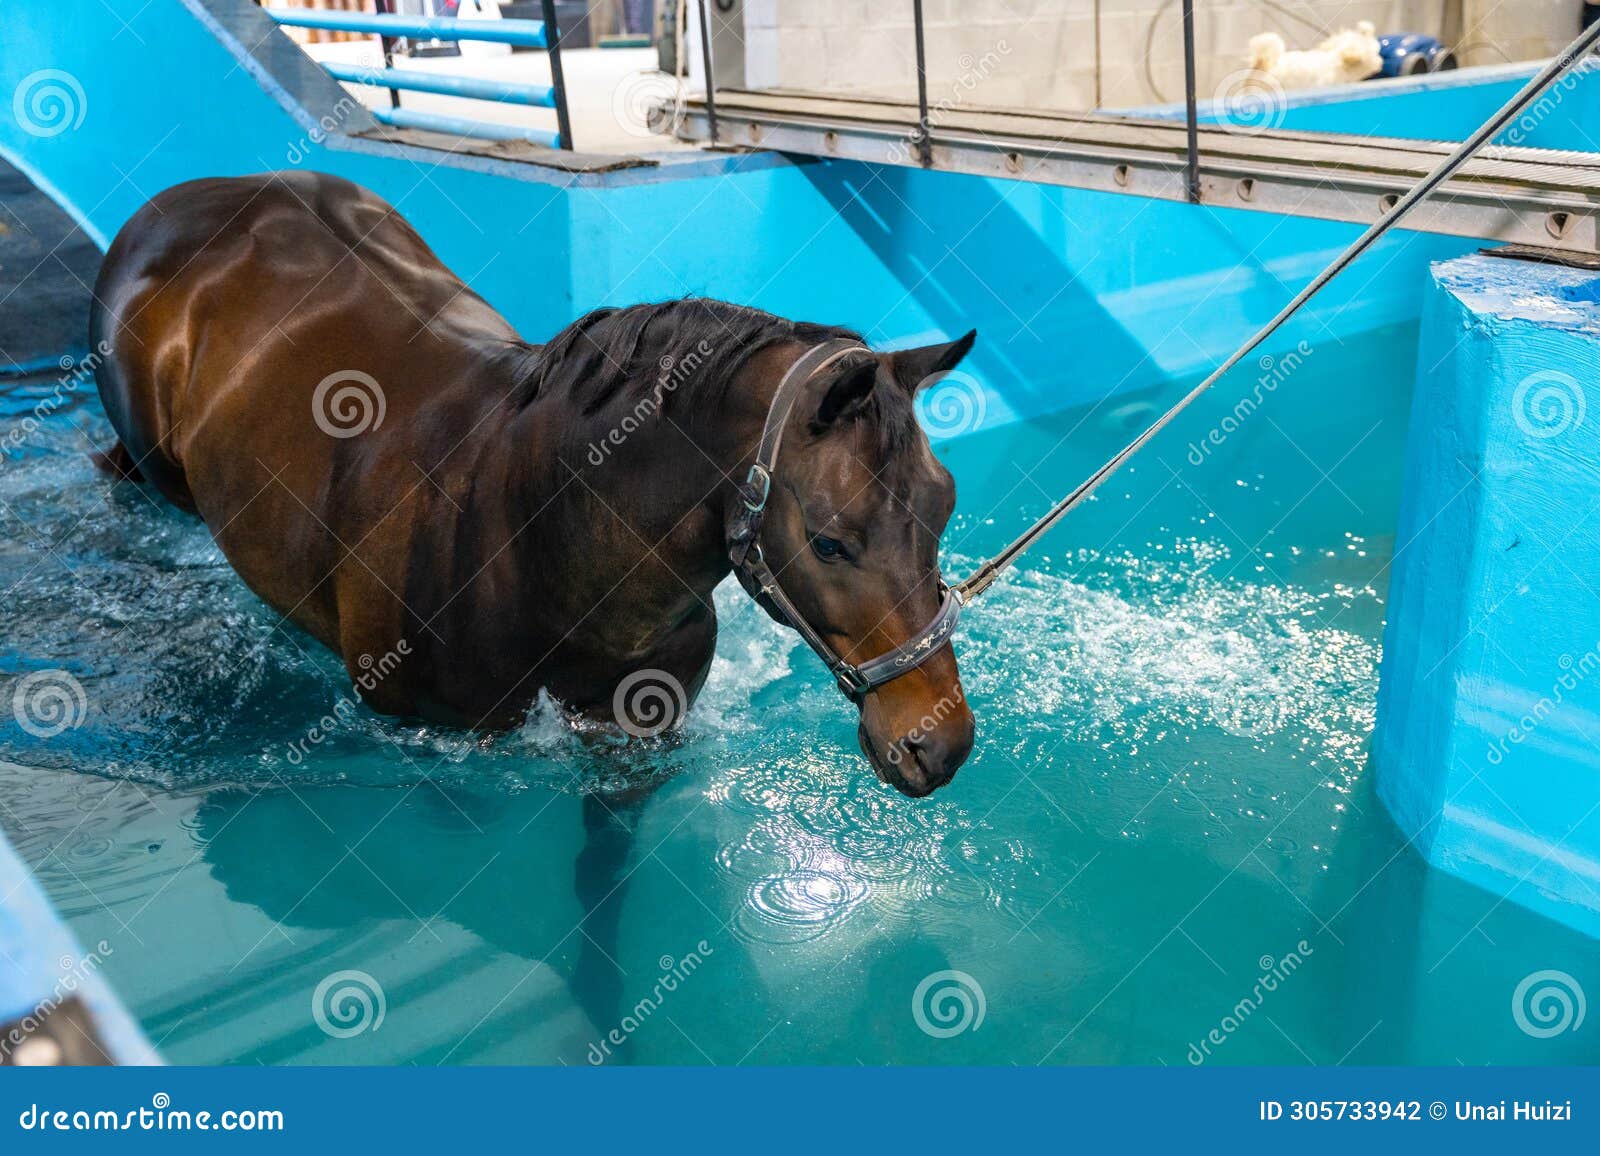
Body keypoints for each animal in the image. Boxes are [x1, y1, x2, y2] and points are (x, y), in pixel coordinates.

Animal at [90, 170, 977, 798]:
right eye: (829, 542)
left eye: (943, 508)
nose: (941, 742)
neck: (537, 538)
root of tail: (183, 200)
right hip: (153, 463)